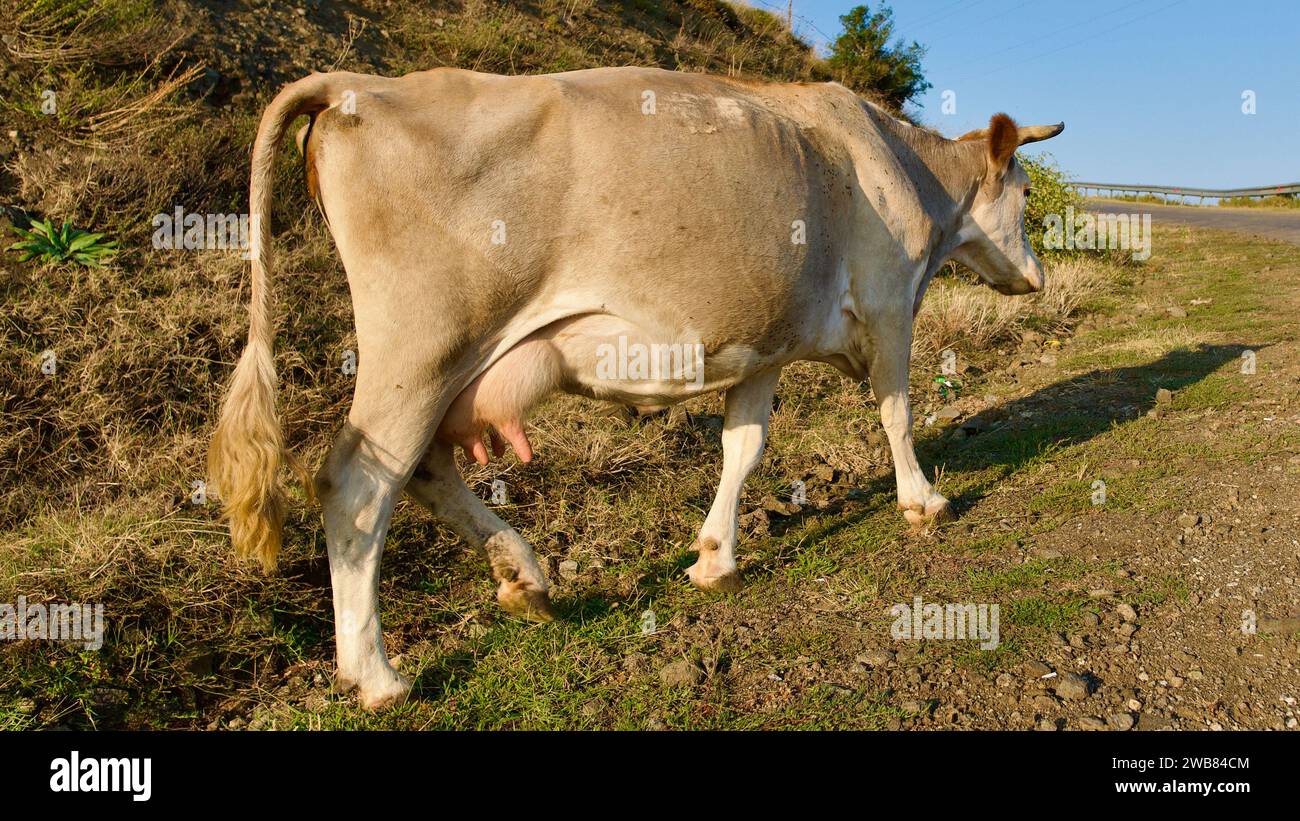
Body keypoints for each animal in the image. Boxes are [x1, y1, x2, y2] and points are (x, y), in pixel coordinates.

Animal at [208, 65, 1063, 709]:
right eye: (1024, 195)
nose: (1038, 276)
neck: (904, 167)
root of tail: (360, 84)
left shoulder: (765, 343)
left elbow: (744, 446)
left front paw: (715, 556)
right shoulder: (888, 302)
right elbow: (895, 412)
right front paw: (924, 500)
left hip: (444, 367)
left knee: (421, 469)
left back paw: (524, 575)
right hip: (420, 344)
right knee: (357, 482)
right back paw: (377, 674)